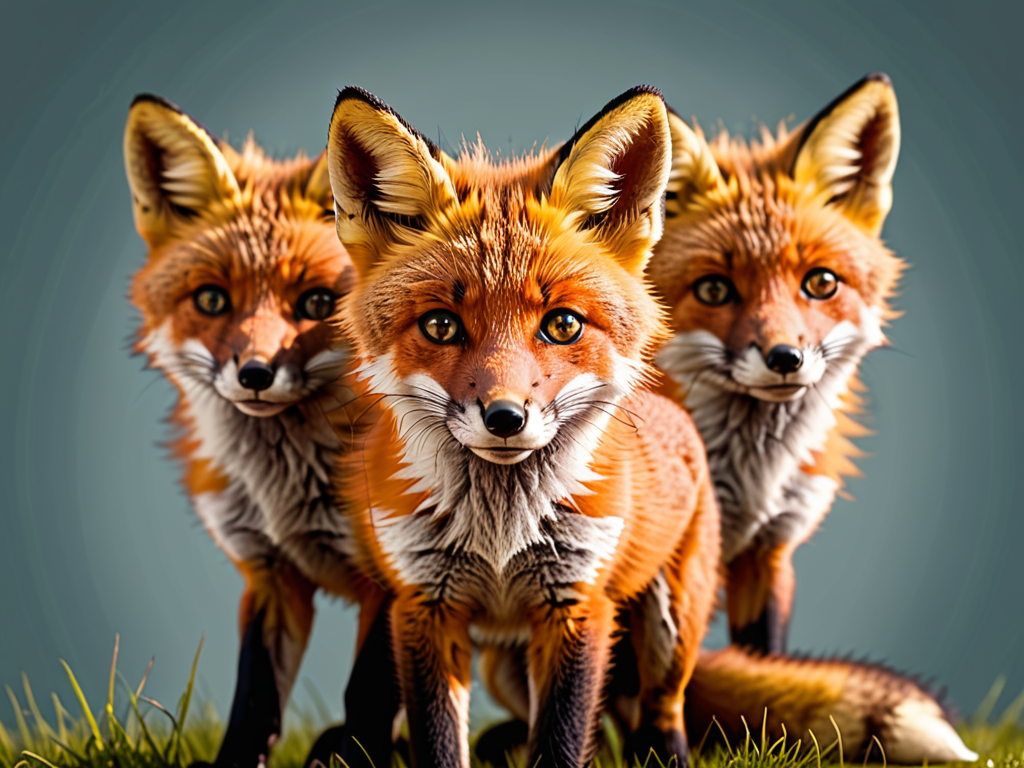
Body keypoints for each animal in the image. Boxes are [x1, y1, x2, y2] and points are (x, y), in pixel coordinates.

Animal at [124, 95, 398, 768]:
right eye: (212, 300)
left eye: (318, 304)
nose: (254, 374)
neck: (289, 494)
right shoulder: (268, 573)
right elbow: (255, 700)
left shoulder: (395, 575)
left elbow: (366, 694)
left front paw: (354, 757)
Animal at [648, 74, 906, 655]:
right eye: (714, 289)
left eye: (822, 282)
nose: (785, 358)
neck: (750, 480)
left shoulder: (770, 552)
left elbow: (762, 658)